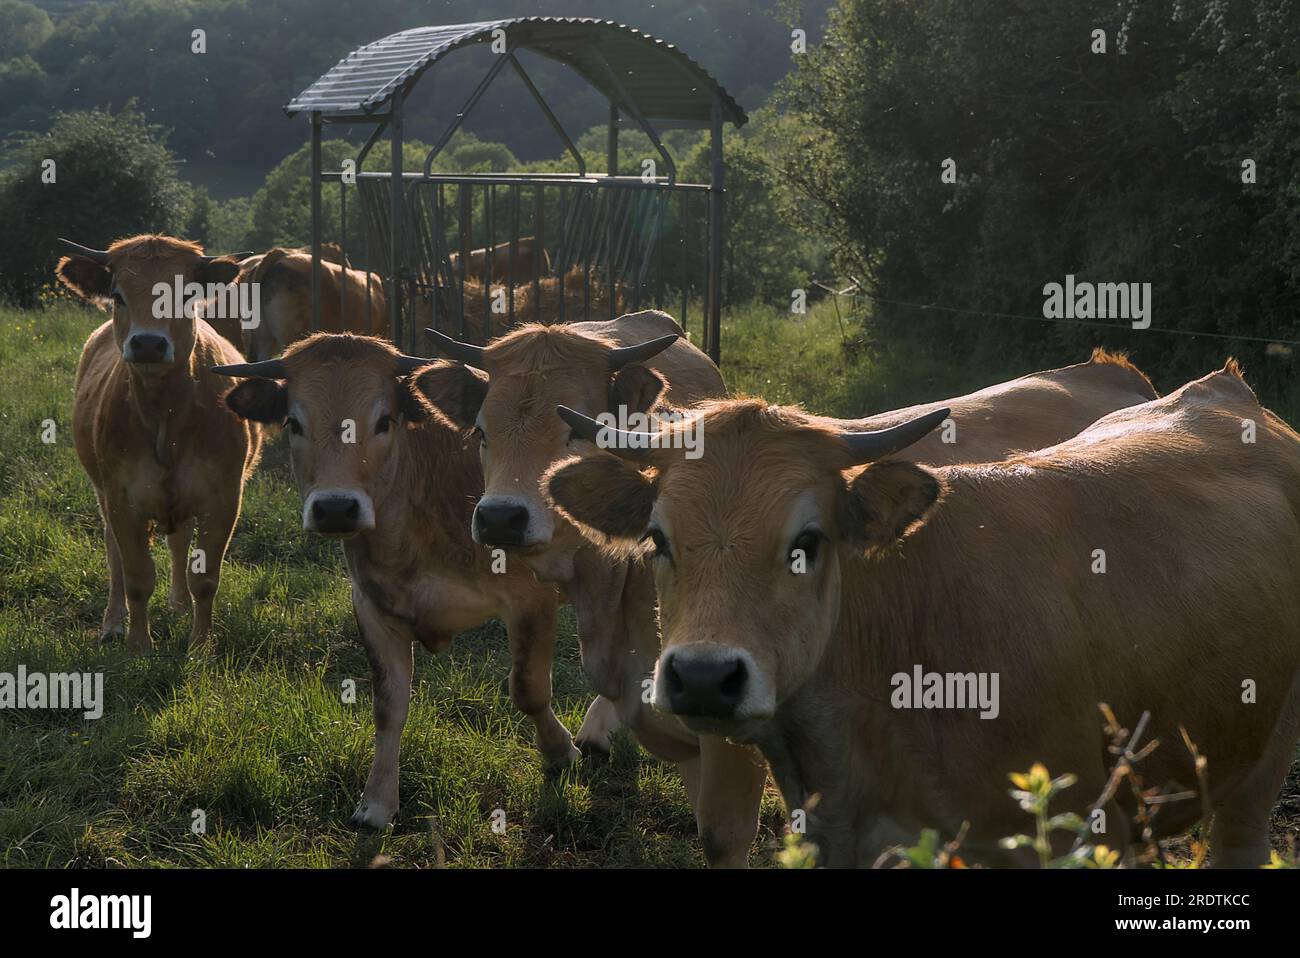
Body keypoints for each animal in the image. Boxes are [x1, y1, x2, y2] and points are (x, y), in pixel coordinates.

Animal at [56, 235, 264, 652]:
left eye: (186, 295)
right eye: (117, 294)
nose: (148, 344)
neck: (166, 417)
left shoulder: (223, 499)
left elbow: (205, 579)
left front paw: (200, 647)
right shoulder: (122, 498)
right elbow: (137, 577)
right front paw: (138, 646)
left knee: (179, 543)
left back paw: (179, 606)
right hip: (103, 492)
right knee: (114, 554)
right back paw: (112, 623)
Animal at [211, 334, 576, 828]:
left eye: (384, 420)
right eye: (293, 422)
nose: (336, 508)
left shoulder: (530, 596)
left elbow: (529, 688)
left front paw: (560, 751)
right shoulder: (372, 608)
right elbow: (389, 706)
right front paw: (378, 801)